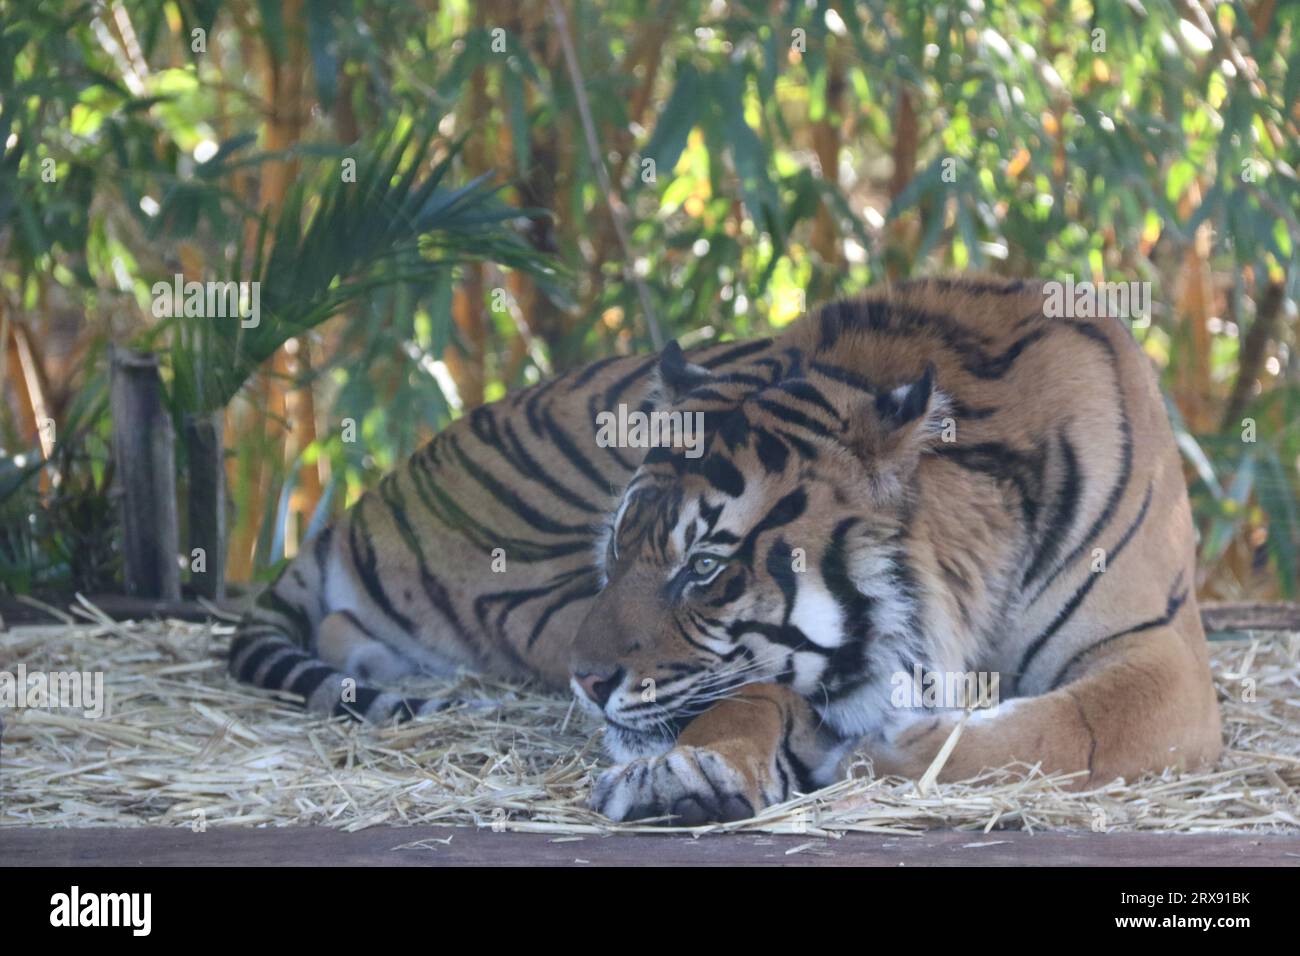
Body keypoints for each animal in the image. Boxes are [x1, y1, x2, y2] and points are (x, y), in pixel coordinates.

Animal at [229, 276, 1223, 824]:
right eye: (621, 550)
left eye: (703, 567)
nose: (591, 682)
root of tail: (373, 495)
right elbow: (747, 698)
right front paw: (689, 773)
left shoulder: (1156, 657)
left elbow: (1066, 729)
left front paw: (884, 753)